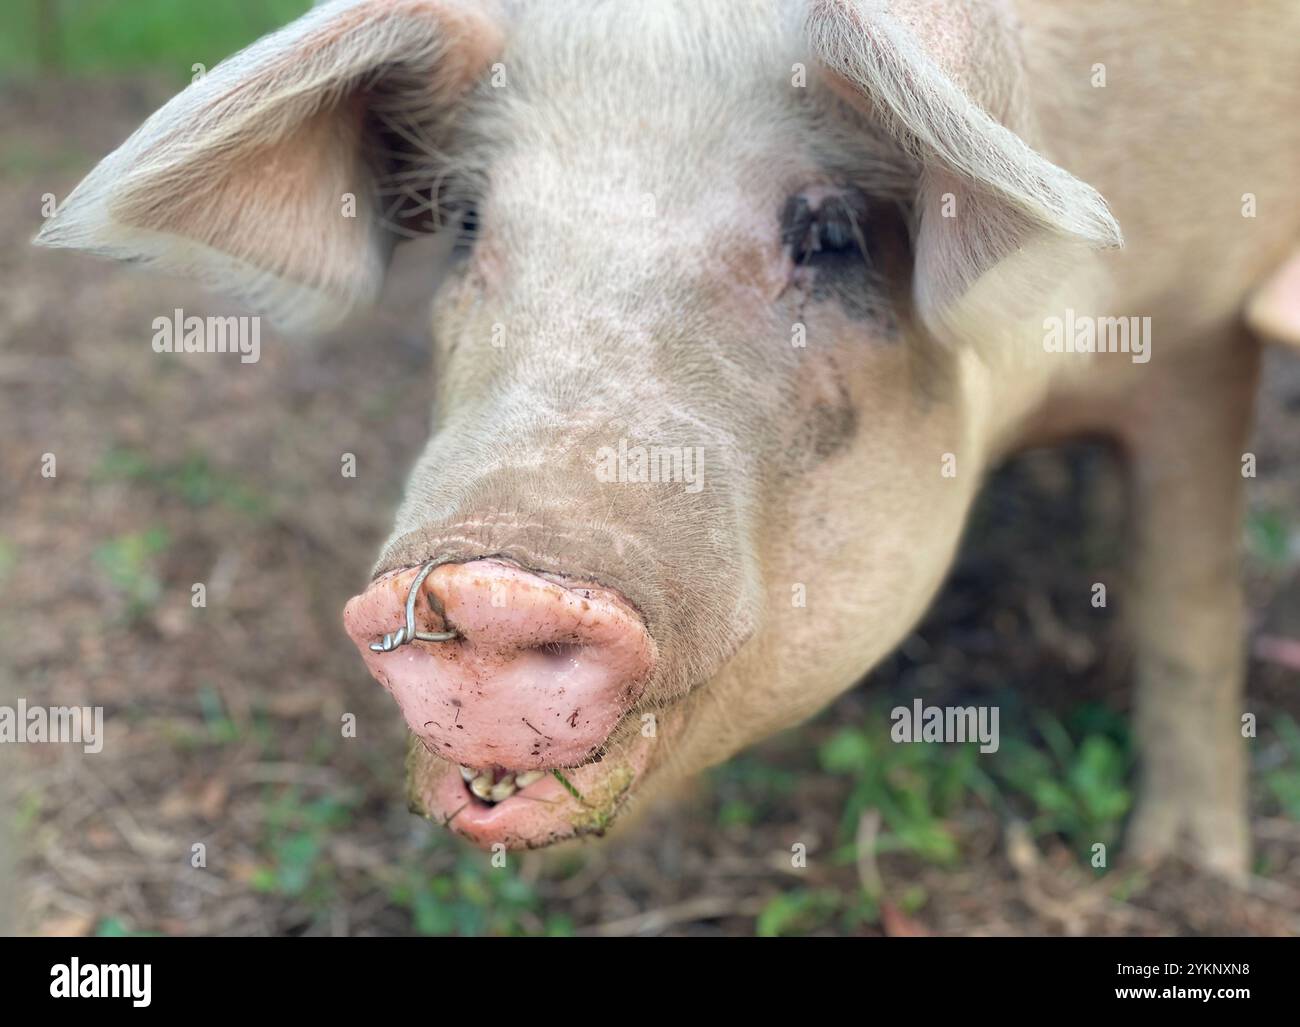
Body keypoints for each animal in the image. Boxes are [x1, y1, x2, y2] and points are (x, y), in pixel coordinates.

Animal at [34, 0, 1300, 878]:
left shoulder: (1200, 339)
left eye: (830, 233)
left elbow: (1188, 598)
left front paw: (1189, 868)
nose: (489, 587)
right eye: (469, 226)